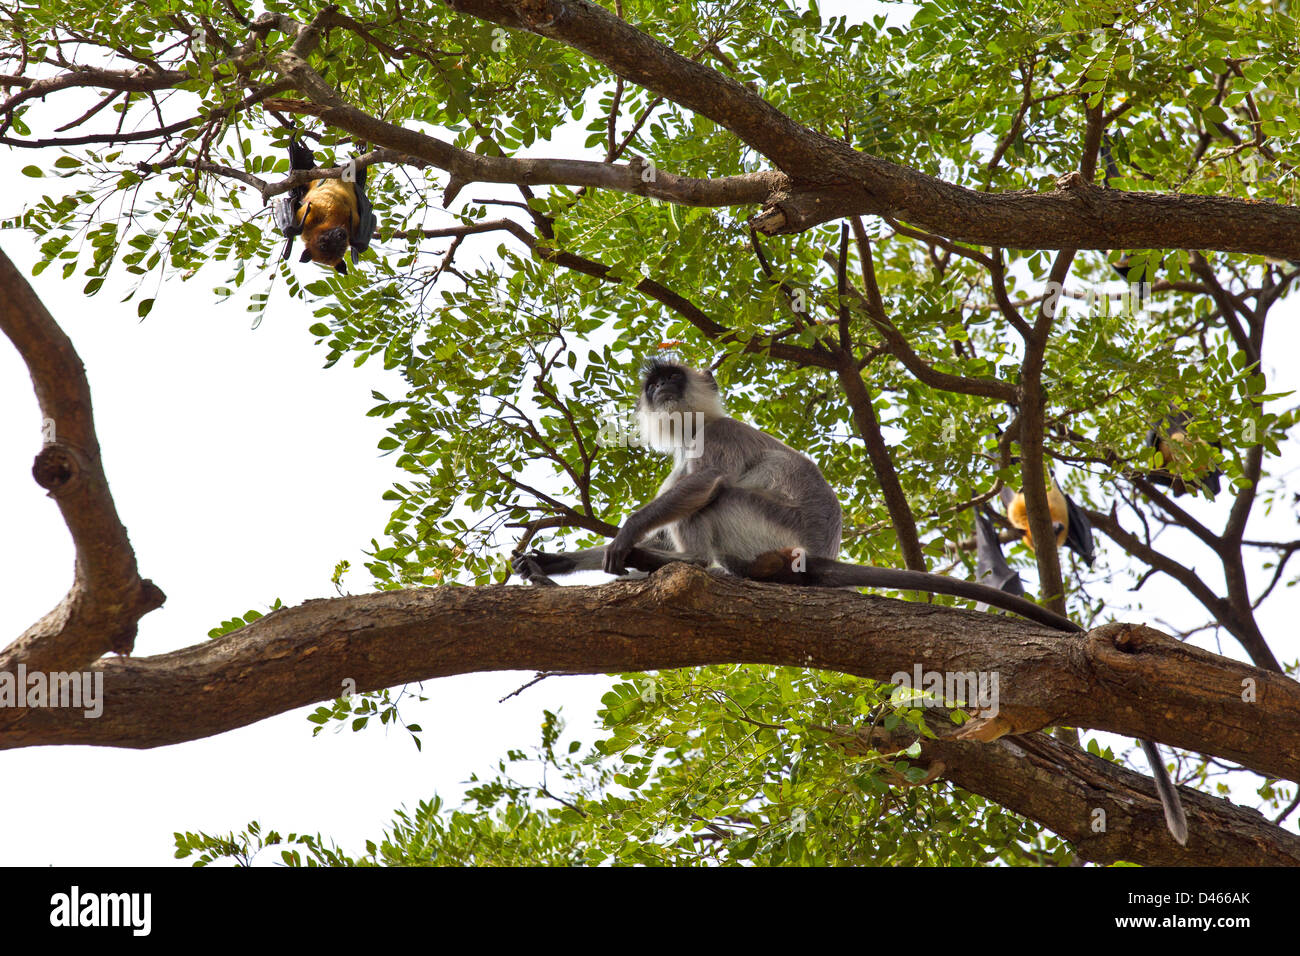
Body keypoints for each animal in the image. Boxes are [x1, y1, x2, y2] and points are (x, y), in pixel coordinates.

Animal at [513, 360, 1186, 844]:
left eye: (670, 379)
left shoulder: (714, 441)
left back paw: (693, 569)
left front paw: (627, 540)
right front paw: (550, 562)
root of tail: (819, 553)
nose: (659, 389)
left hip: (768, 531)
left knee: (716, 497)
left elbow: (701, 484)